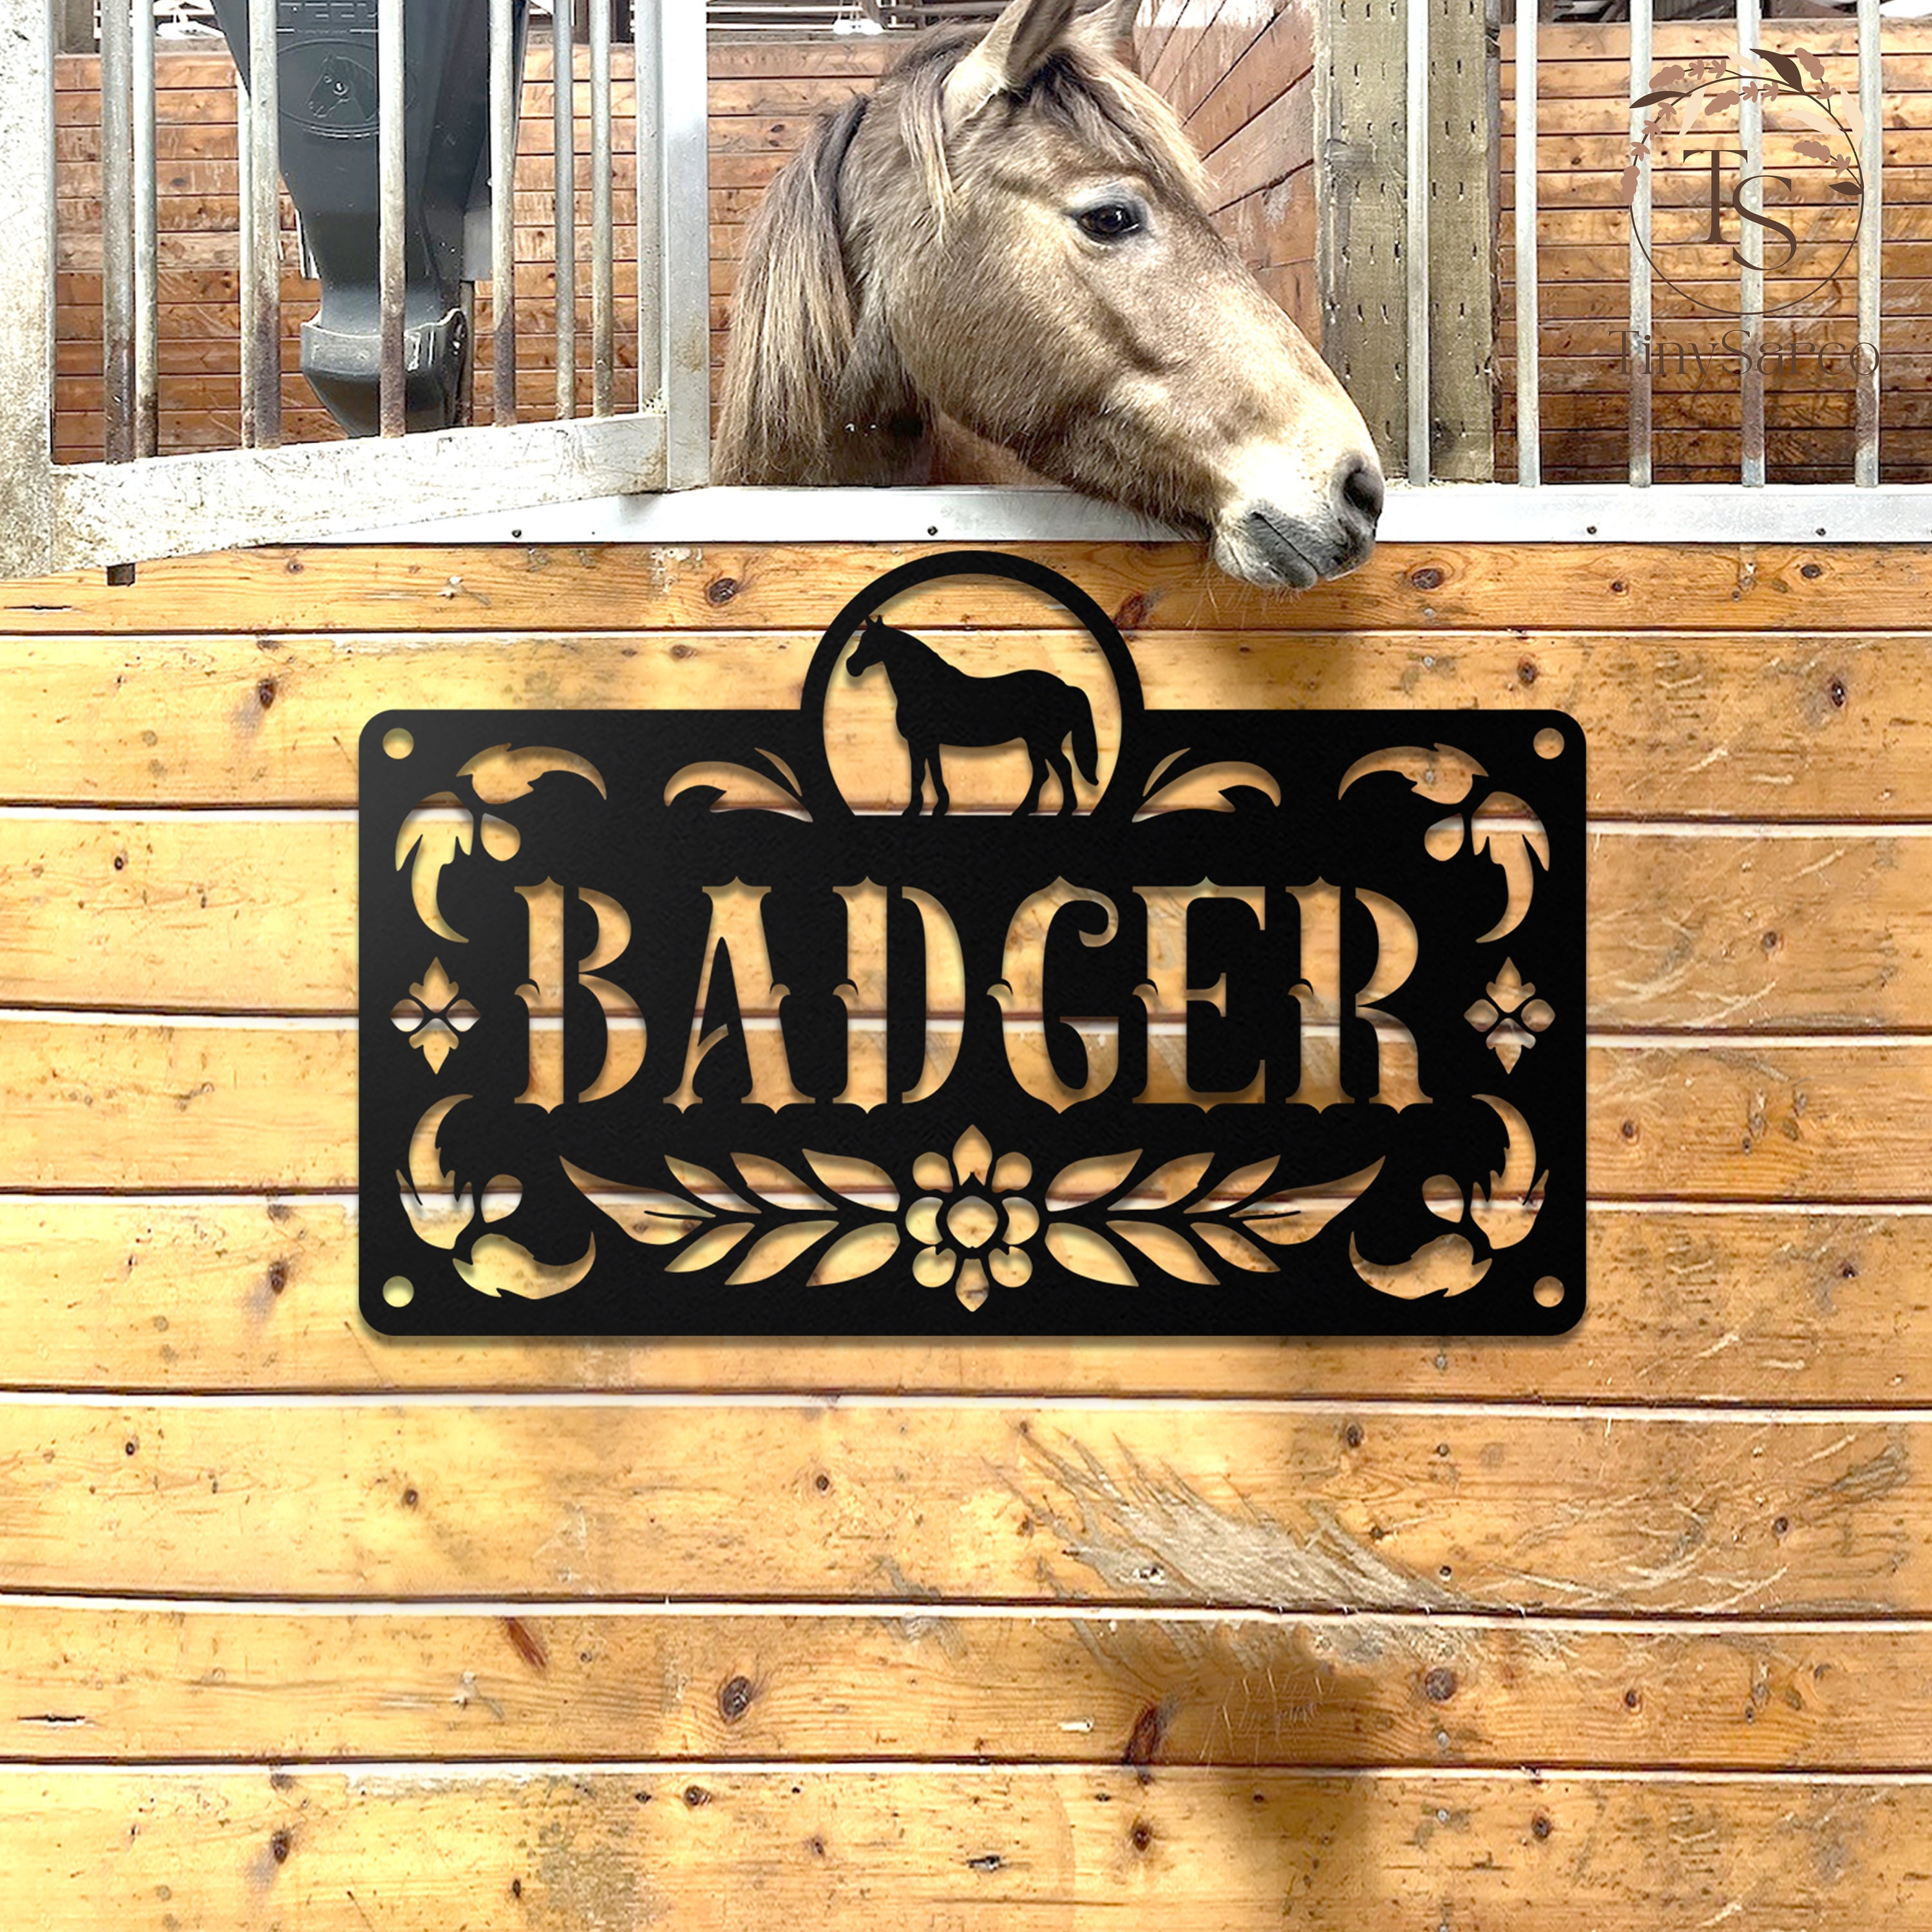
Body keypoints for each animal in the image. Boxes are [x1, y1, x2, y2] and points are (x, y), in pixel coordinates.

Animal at [846, 616, 1099, 817]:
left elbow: (924, 773)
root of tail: (1067, 688)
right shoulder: (923, 743)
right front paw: (931, 808)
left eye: (872, 642)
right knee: (1042, 774)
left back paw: (1063, 811)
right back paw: (1023, 811)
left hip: (1044, 742)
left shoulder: (923, 741)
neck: (926, 687)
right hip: (1036, 743)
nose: (851, 666)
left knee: (1062, 768)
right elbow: (928, 772)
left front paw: (922, 809)